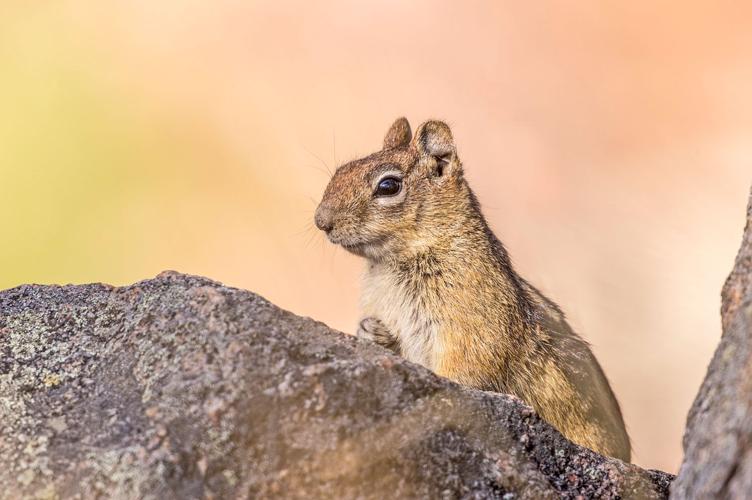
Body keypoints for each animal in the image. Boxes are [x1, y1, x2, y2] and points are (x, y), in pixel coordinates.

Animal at [314, 117, 631, 461]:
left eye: (388, 186)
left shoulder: (468, 331)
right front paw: (372, 331)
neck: (394, 263)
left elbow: (463, 370)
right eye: (341, 170)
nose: (321, 221)